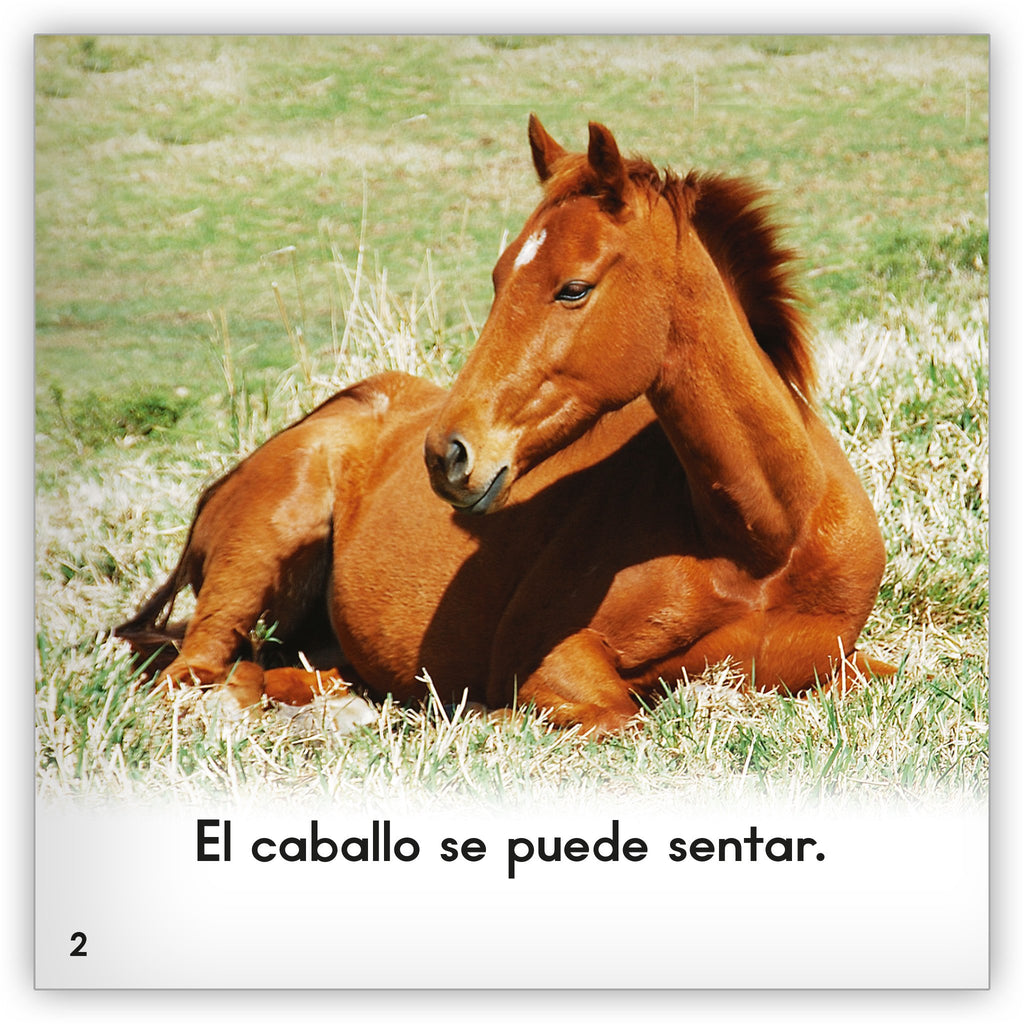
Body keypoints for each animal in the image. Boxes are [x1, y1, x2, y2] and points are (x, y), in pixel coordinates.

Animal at [115, 116, 894, 735]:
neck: (763, 536)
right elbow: (618, 715)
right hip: (255, 564)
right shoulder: (549, 657)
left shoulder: (839, 660)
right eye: (497, 278)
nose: (448, 455)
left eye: (573, 287)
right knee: (194, 676)